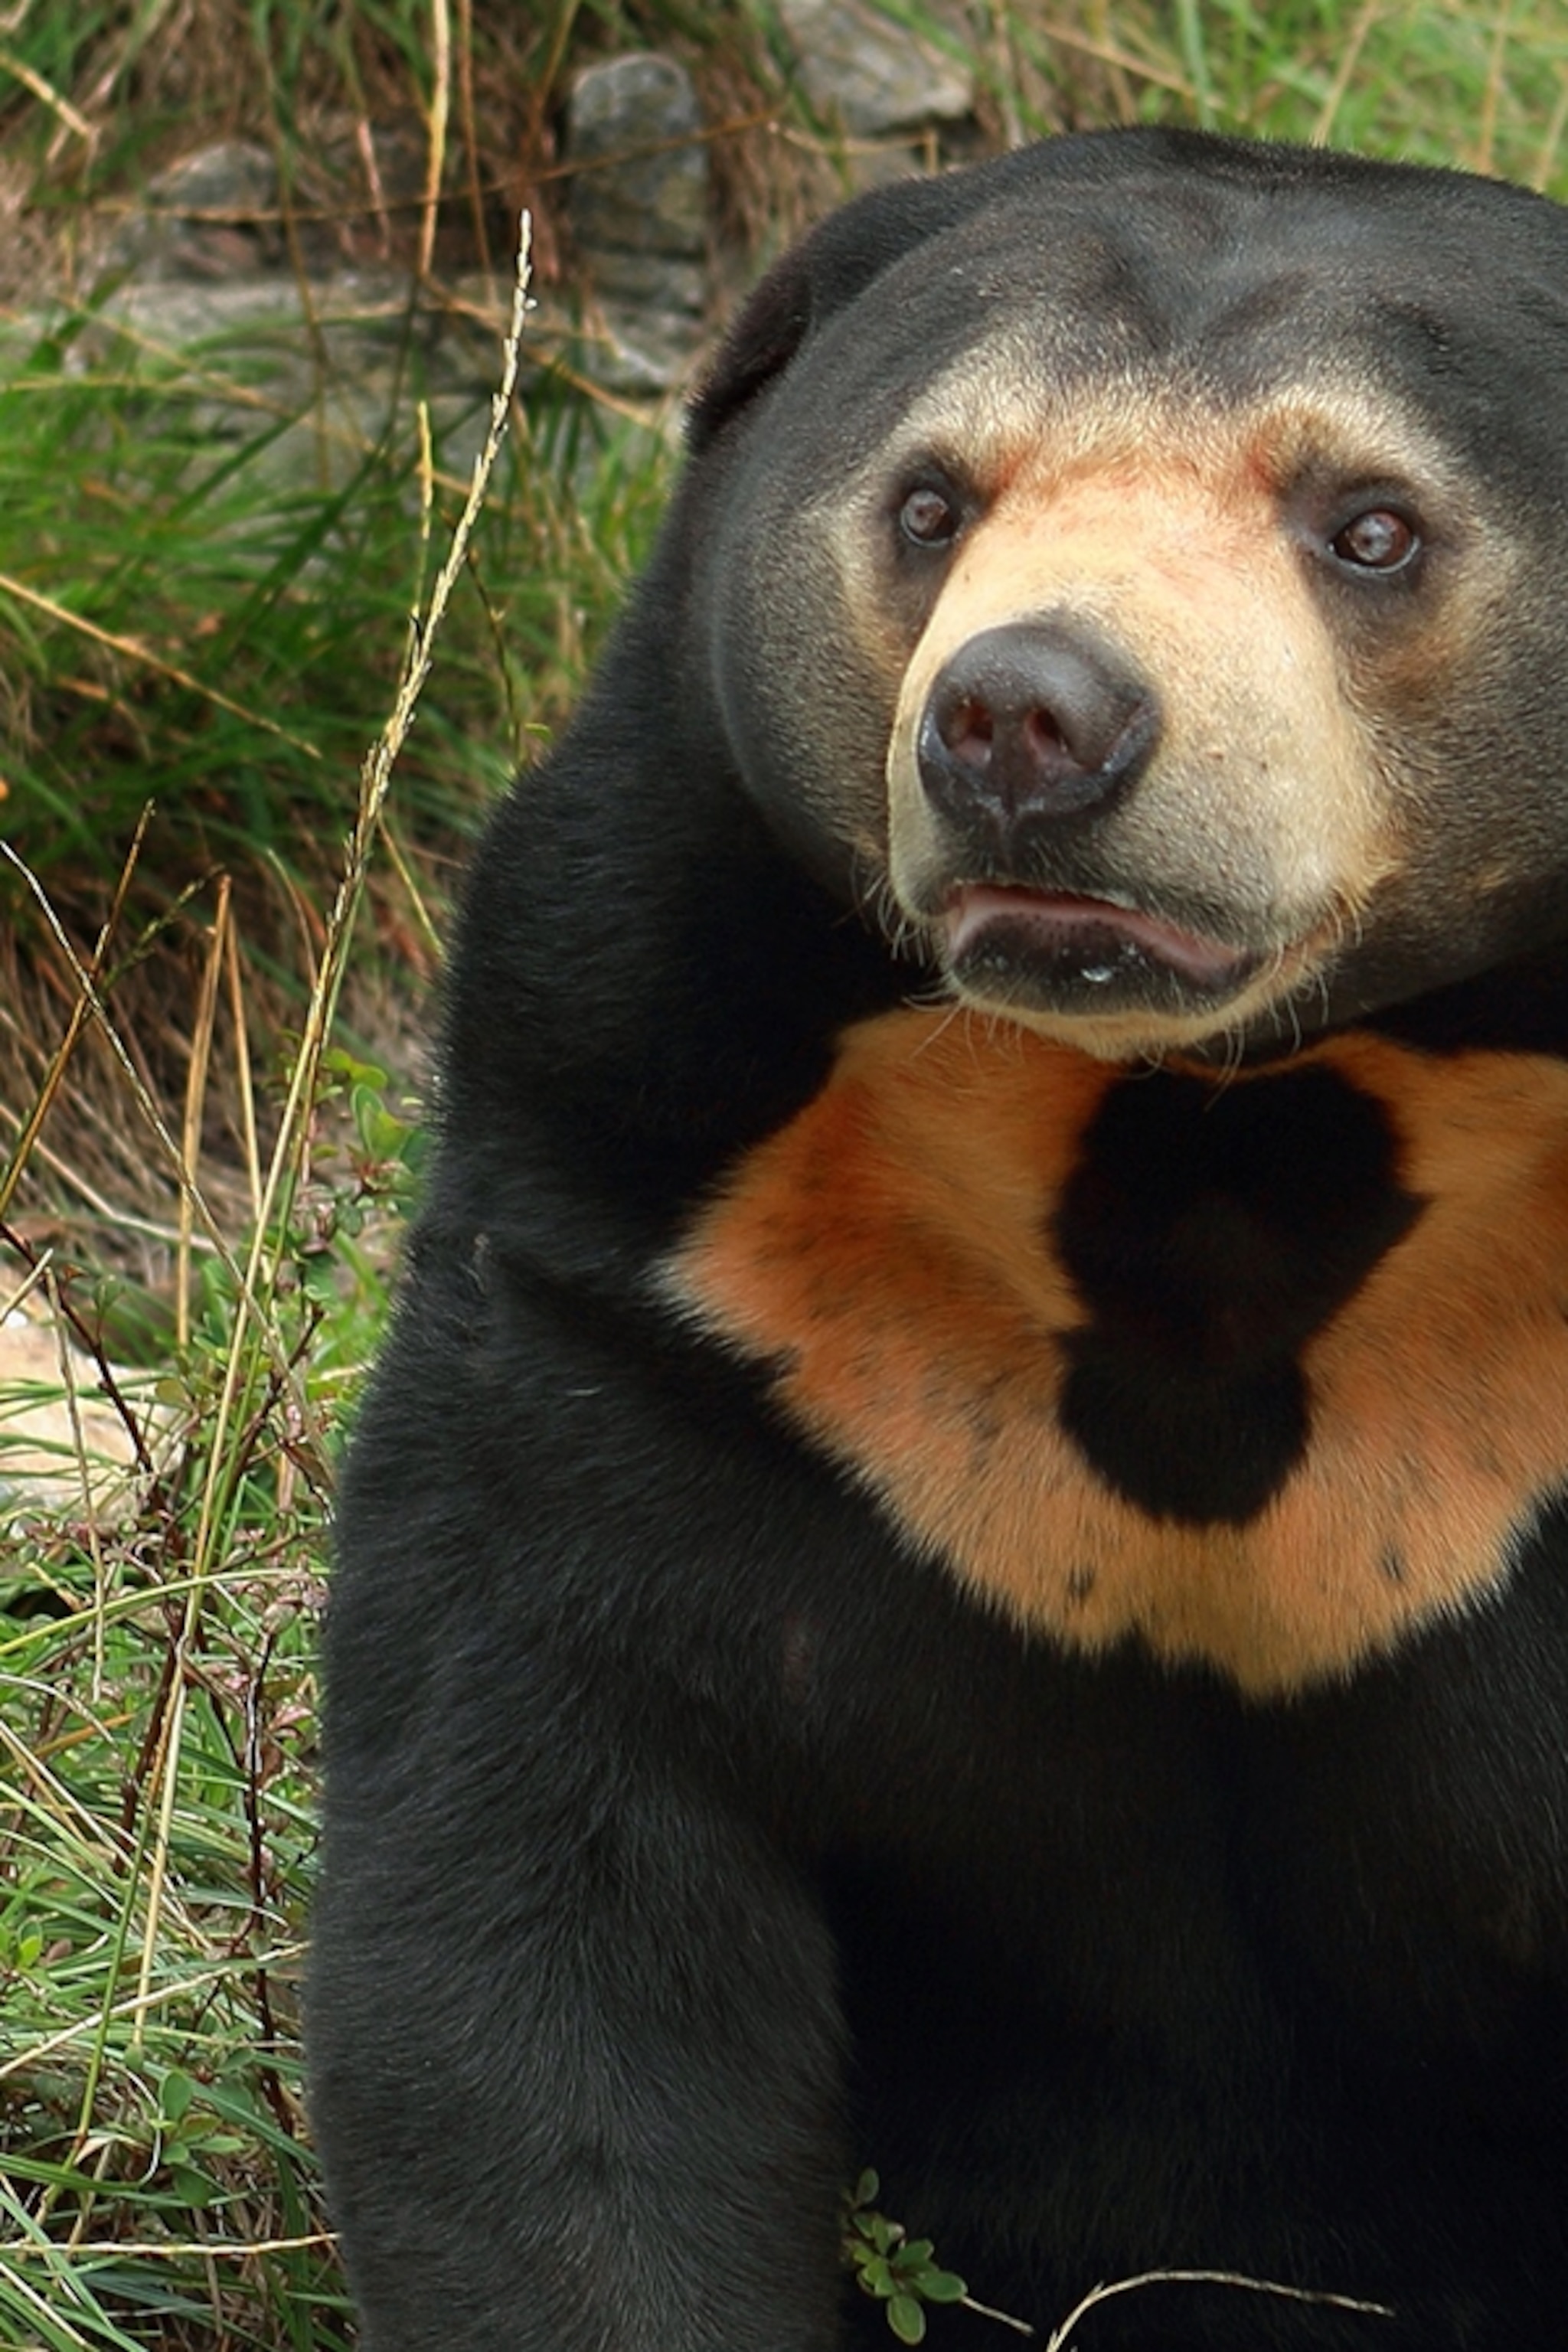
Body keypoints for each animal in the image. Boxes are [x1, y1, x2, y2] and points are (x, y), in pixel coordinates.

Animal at [307, 127, 1568, 2349]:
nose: (1022, 720)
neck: (1200, 1132)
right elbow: (554, 1897)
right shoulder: (661, 1265)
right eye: (930, 501)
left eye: (1371, 526)